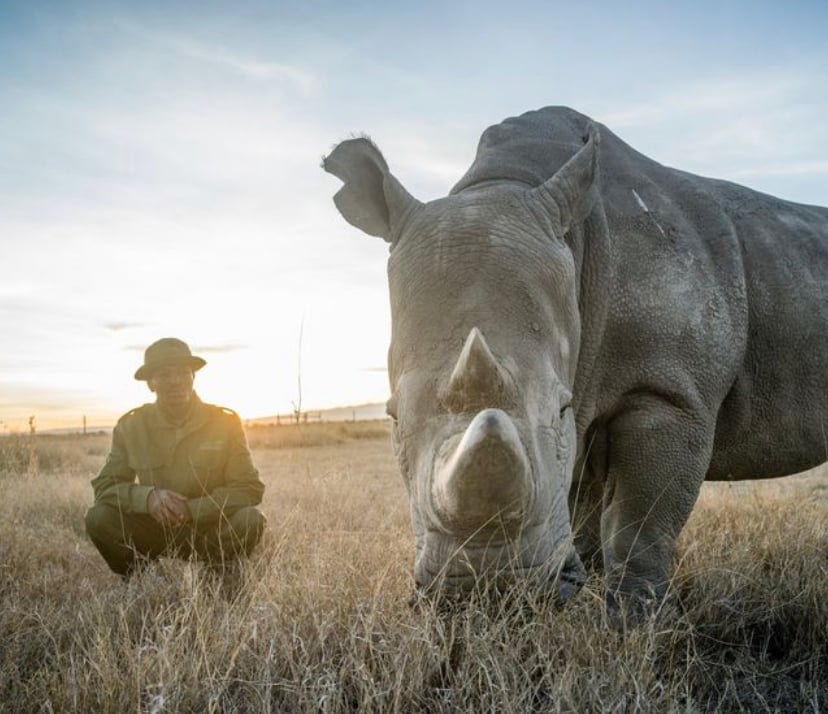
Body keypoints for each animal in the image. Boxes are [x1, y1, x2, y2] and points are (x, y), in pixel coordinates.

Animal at [323, 106, 828, 617]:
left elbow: (637, 521)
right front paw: (581, 581)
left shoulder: (670, 392)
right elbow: (577, 499)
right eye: (393, 419)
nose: (490, 592)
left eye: (560, 408)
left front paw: (634, 620)